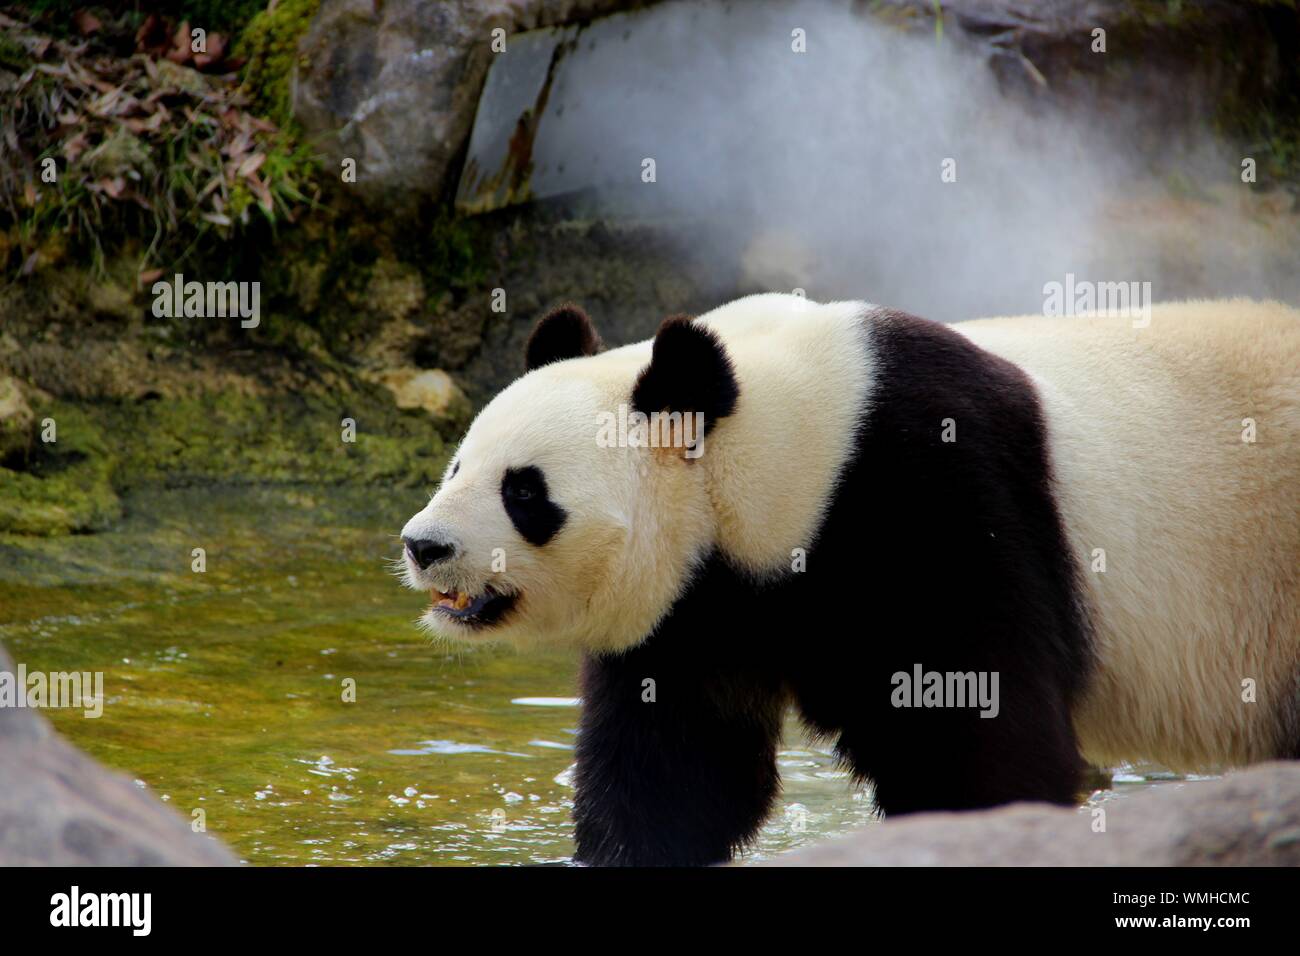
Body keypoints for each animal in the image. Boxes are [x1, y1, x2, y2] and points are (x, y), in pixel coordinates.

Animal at [399, 294, 1300, 866]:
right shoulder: (696, 611)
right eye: (457, 464)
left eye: (525, 492)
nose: (423, 544)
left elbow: (979, 737)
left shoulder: (936, 504)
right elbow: (679, 770)